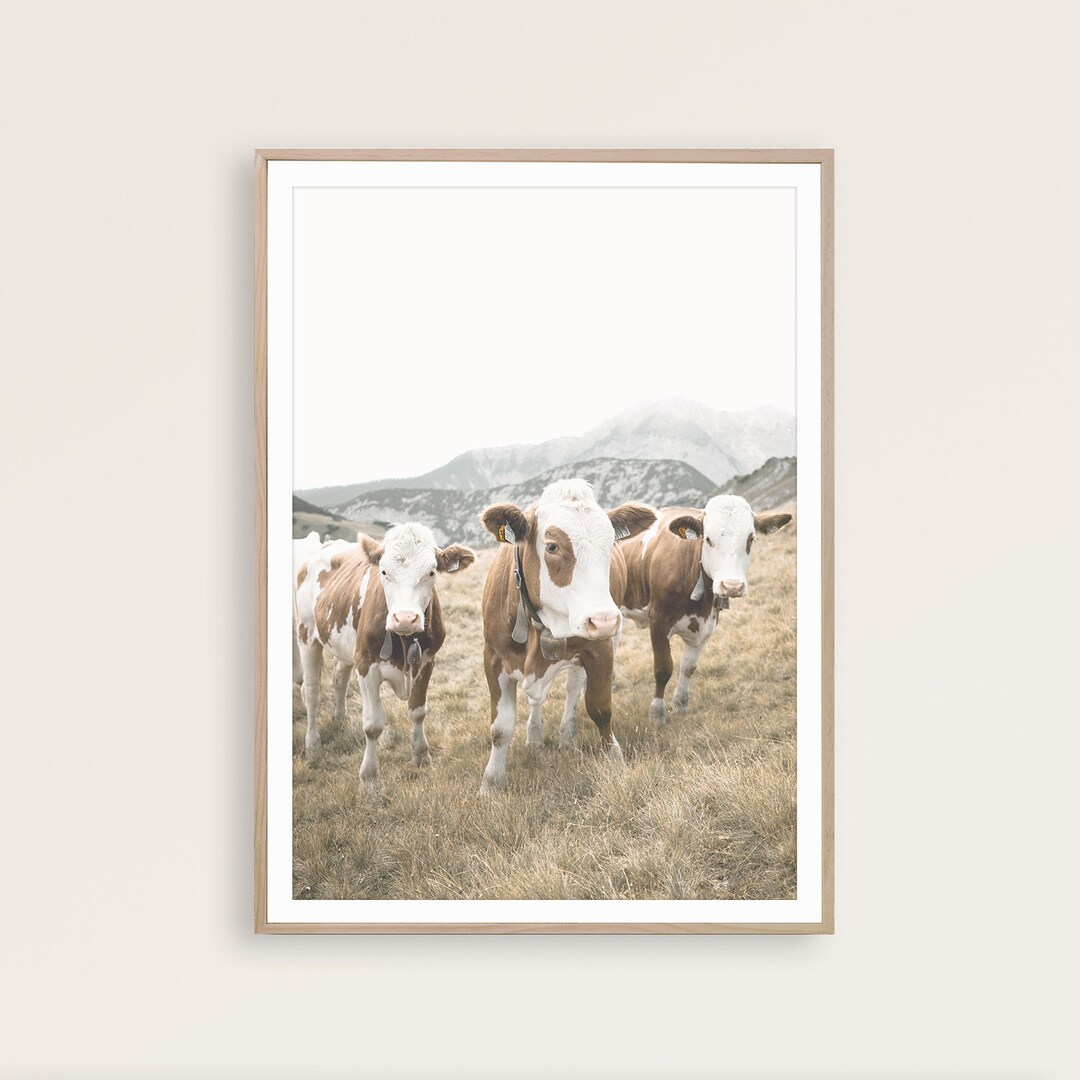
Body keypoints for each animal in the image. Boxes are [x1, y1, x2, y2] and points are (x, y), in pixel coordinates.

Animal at [294, 524, 475, 788]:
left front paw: (421, 755)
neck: (405, 639)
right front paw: (368, 776)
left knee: (339, 678)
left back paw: (339, 719)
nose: (405, 619)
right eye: (384, 571)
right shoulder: (366, 665)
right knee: (311, 691)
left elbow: (418, 711)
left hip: (344, 646)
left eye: (431, 572)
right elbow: (373, 724)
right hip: (306, 634)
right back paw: (313, 742)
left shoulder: (426, 663)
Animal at [478, 479, 657, 793]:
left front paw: (614, 759)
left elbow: (600, 708)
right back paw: (535, 734)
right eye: (552, 546)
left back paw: (566, 732)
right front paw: (491, 781)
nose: (604, 620)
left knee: (574, 687)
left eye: (611, 544)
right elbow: (500, 727)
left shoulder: (600, 648)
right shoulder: (493, 657)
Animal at [617, 494, 791, 724]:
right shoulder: (659, 620)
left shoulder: (705, 624)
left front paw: (681, 704)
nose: (732, 586)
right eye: (708, 539)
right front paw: (657, 713)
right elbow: (663, 669)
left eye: (751, 539)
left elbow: (688, 668)